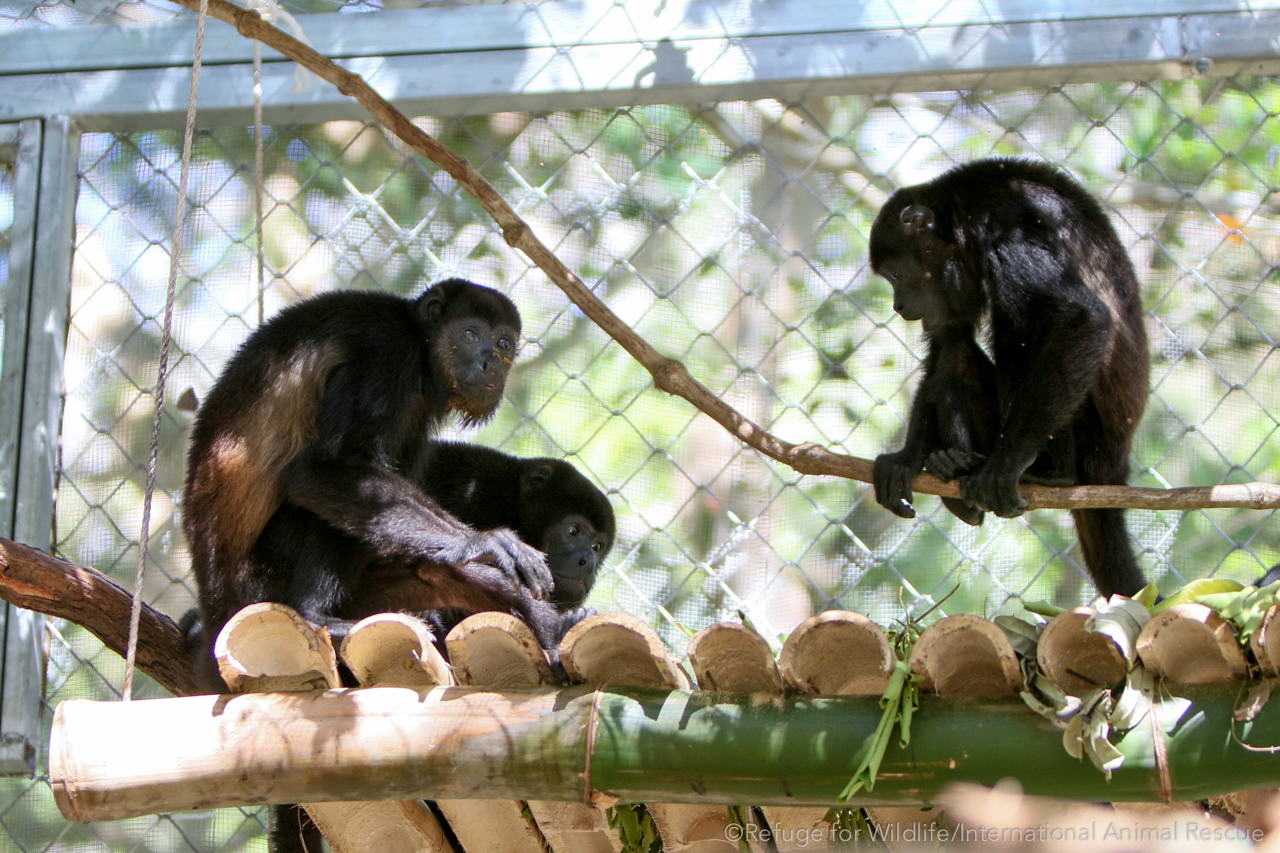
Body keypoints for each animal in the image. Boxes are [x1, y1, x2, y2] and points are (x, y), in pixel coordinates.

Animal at [869, 158, 1150, 597]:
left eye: (896, 275)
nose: (898, 307)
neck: (961, 219)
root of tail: (1117, 467)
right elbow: (947, 339)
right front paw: (908, 456)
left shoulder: (1007, 228)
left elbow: (1081, 317)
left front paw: (1008, 463)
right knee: (958, 355)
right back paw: (953, 466)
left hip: (1092, 440)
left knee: (1021, 322)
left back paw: (1052, 474)